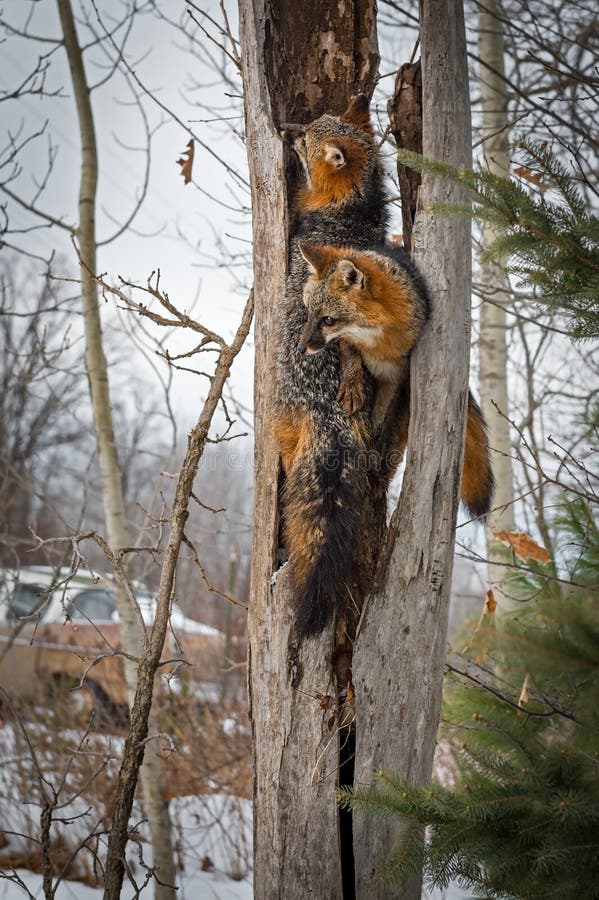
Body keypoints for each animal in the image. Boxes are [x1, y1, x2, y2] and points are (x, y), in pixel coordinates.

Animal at [297, 242, 495, 520]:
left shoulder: (399, 381)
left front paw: (377, 455)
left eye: (328, 320)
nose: (301, 347)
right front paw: (352, 385)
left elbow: (385, 426)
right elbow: (349, 353)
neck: (379, 345)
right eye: (308, 313)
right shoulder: (356, 347)